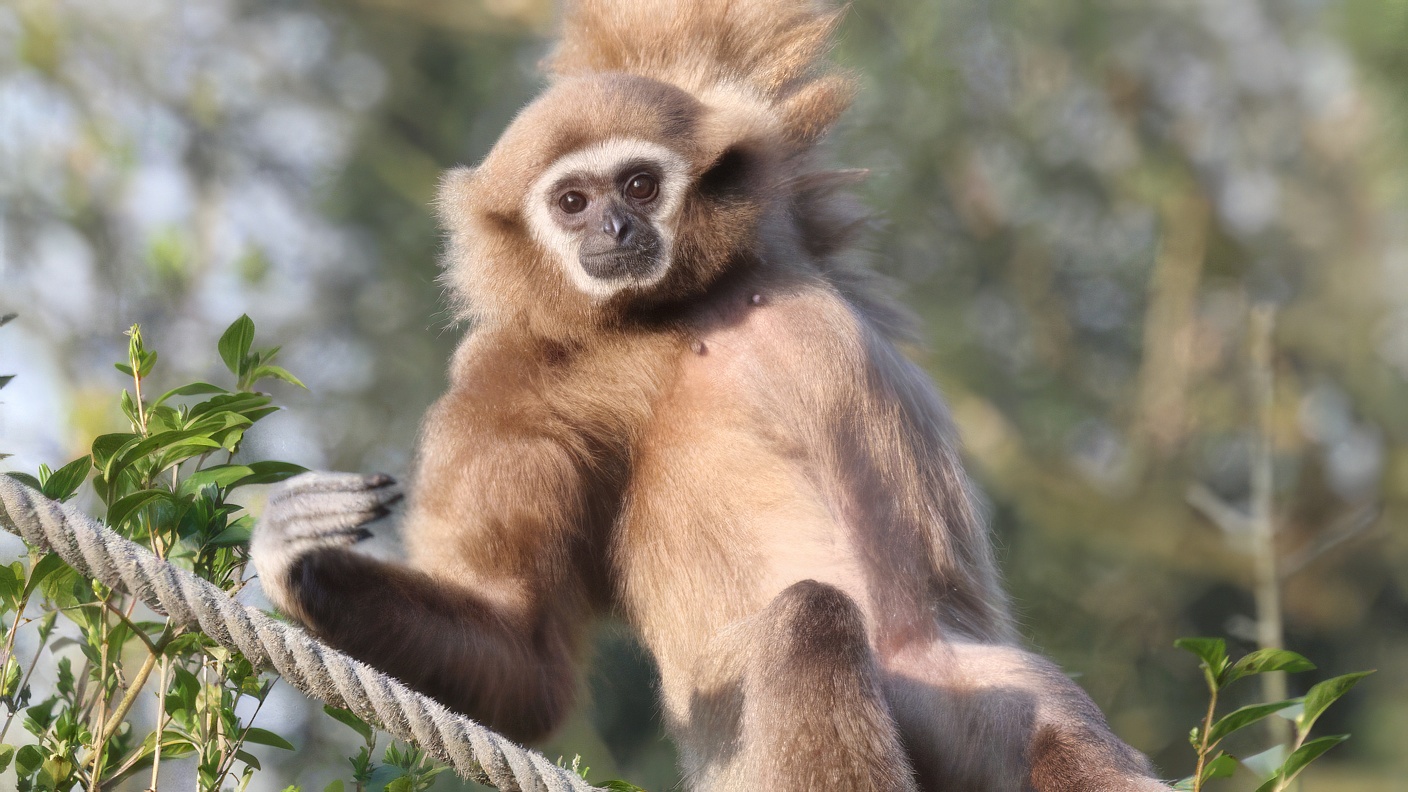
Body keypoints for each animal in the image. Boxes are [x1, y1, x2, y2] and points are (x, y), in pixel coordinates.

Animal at [250, 1, 1173, 789]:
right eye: (571, 201)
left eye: (638, 185)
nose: (612, 229)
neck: (675, 309)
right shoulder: (505, 386)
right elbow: (523, 653)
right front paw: (295, 561)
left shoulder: (774, 187)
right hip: (756, 753)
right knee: (807, 622)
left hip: (982, 694)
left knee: (1053, 733)